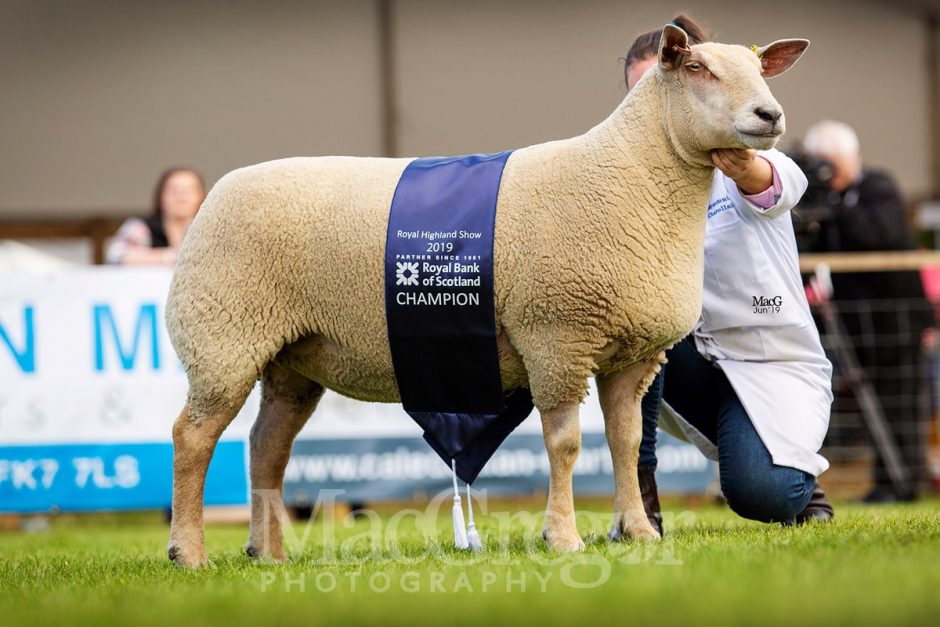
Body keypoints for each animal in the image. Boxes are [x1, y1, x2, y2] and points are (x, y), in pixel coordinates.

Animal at [165, 24, 808, 567]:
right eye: (697, 67)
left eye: (761, 69)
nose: (771, 114)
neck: (631, 178)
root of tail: (217, 193)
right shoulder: (556, 337)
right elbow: (566, 445)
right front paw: (563, 538)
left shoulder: (633, 356)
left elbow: (625, 444)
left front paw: (638, 532)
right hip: (223, 336)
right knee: (192, 438)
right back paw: (189, 553)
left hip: (291, 357)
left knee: (265, 446)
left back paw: (268, 553)